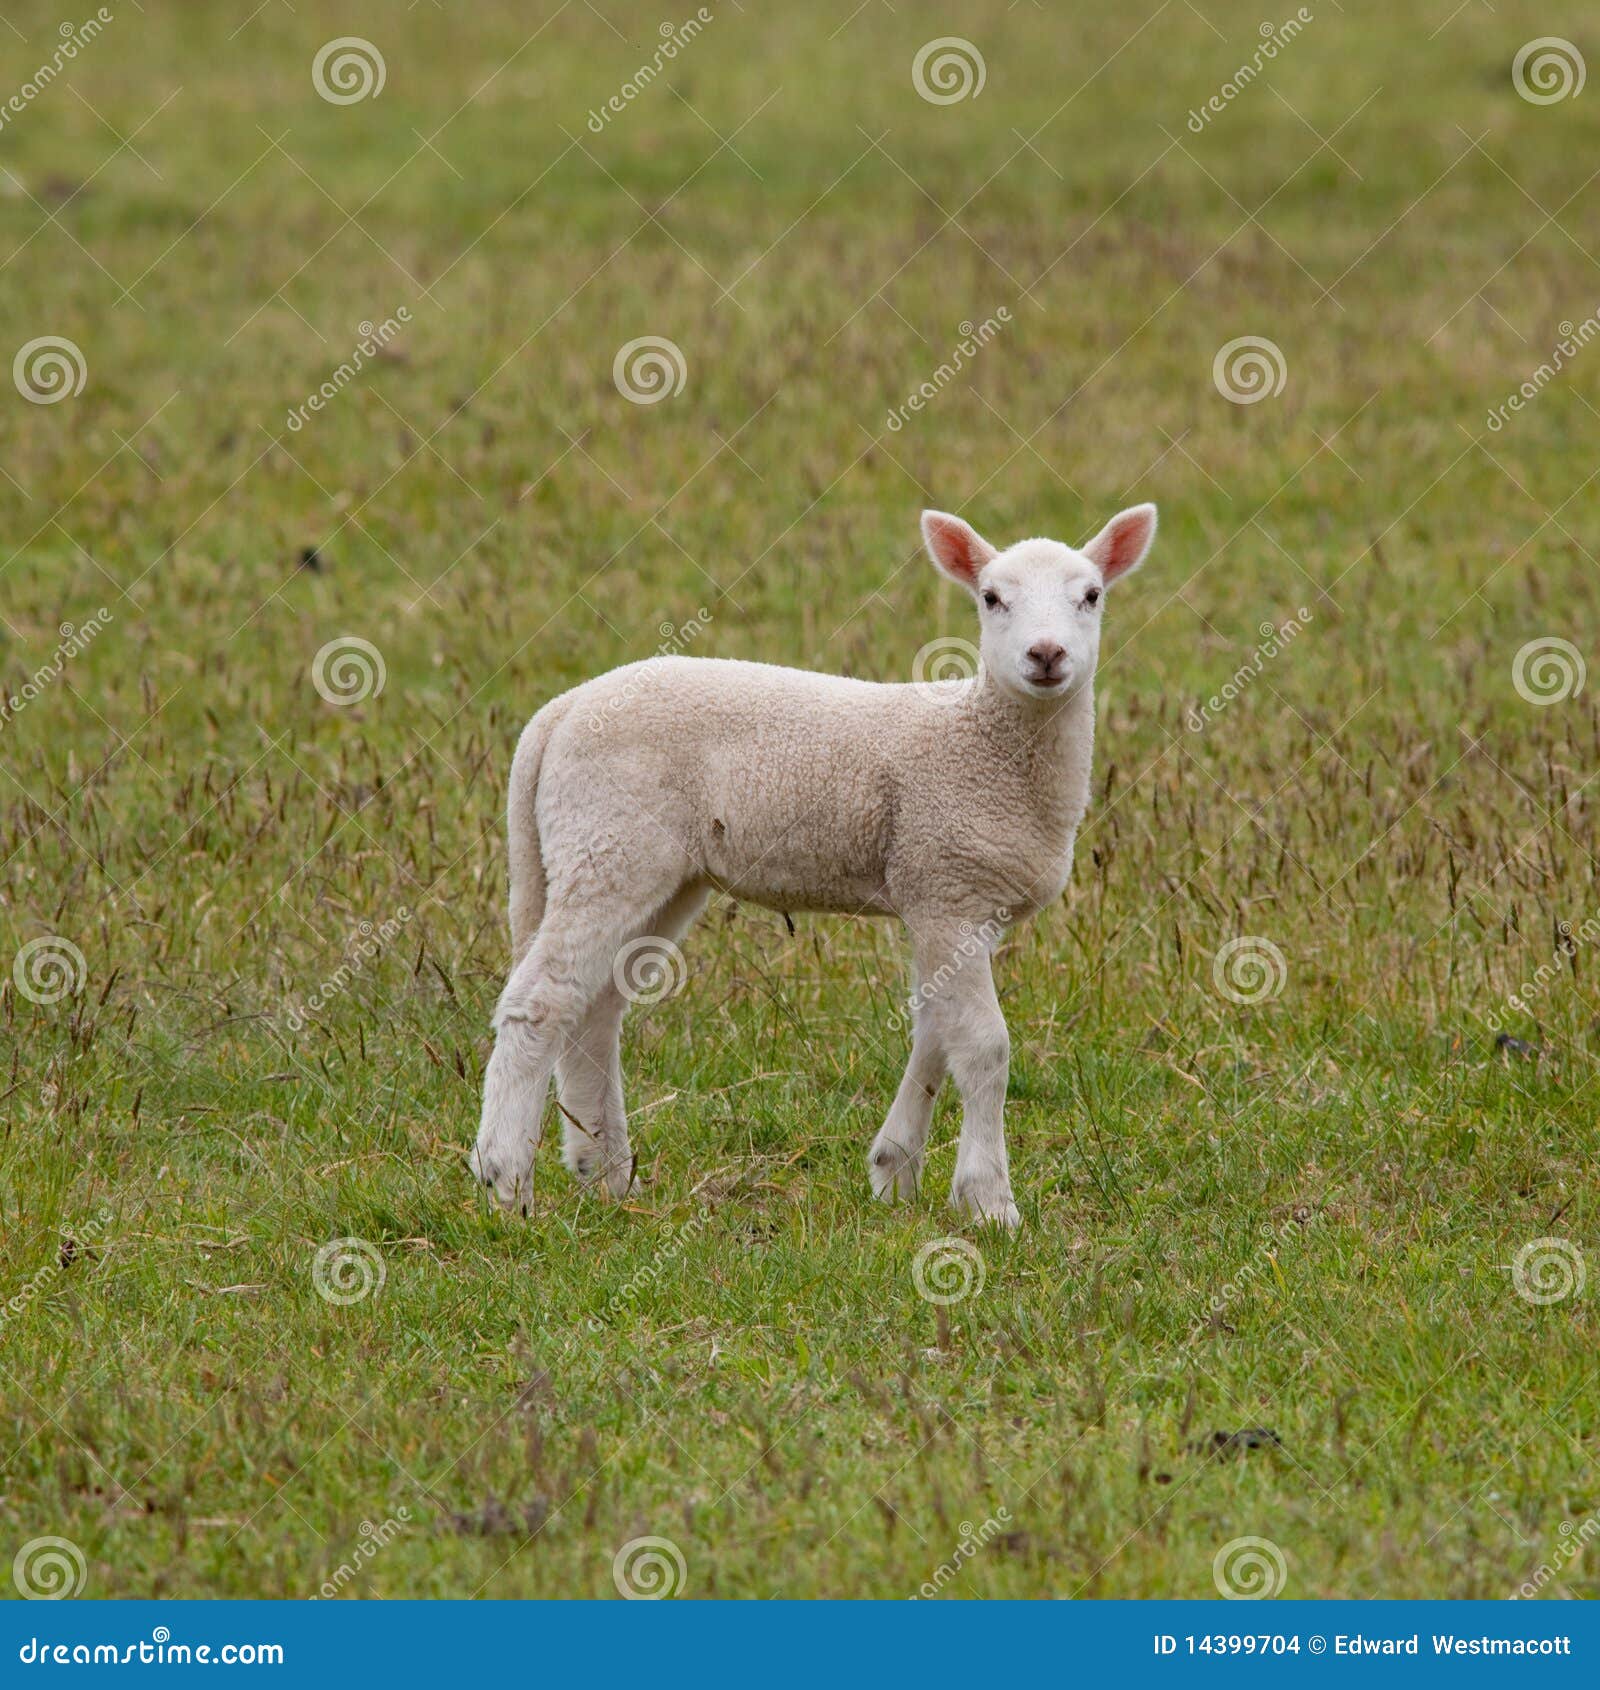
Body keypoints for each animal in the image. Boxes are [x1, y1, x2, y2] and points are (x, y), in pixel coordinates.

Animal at [472, 502, 1158, 1229]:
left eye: (1093, 596)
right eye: (991, 598)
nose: (1046, 655)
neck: (981, 741)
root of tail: (558, 713)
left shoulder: (942, 894)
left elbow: (933, 1032)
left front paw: (894, 1171)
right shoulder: (948, 886)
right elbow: (983, 1046)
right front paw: (989, 1202)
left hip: (654, 869)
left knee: (596, 1009)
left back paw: (603, 1173)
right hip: (607, 842)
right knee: (539, 1002)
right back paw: (505, 1180)